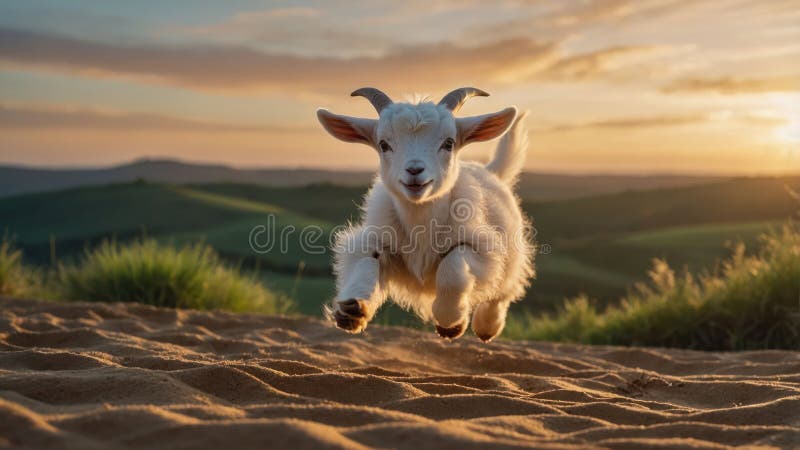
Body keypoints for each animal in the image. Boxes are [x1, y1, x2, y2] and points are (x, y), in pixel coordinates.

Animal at [317, 87, 534, 341]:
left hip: (511, 254)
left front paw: (450, 319)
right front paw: (352, 311)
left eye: (449, 143)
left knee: (502, 291)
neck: (420, 221)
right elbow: (366, 261)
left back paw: (487, 326)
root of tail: (491, 171)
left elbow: (453, 268)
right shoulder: (377, 239)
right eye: (383, 144)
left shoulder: (482, 249)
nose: (414, 170)